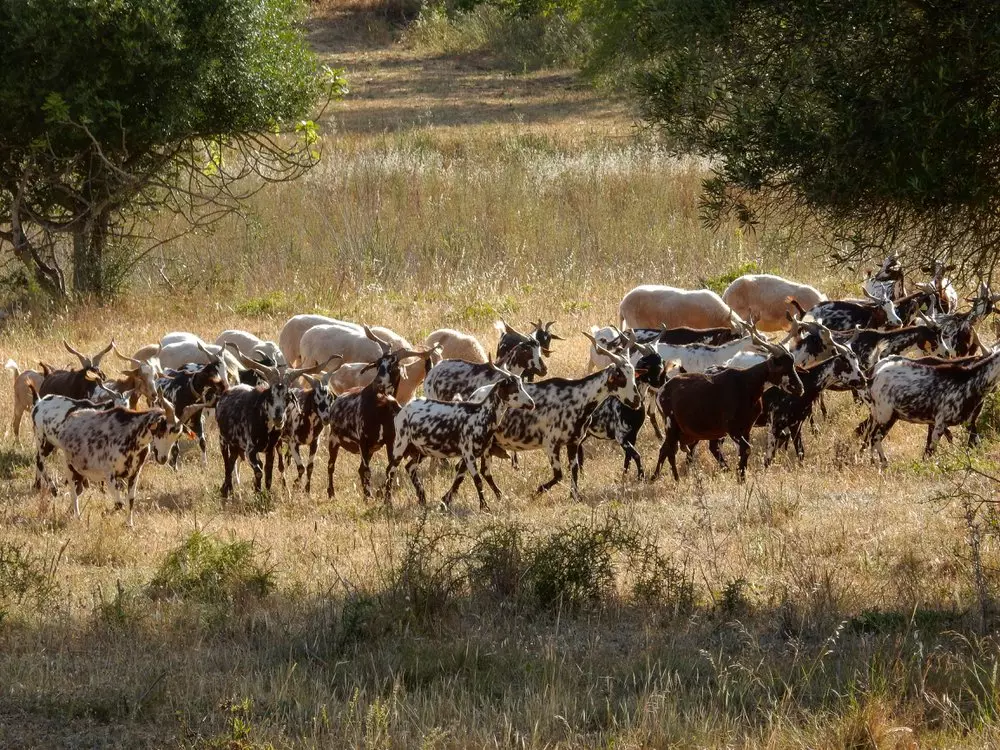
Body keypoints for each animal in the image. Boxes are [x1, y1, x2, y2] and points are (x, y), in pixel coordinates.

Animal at [386, 364, 536, 512]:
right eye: (514, 388)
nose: (531, 403)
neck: (480, 415)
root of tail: (401, 409)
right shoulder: (468, 453)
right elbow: (477, 480)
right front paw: (484, 507)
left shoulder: (477, 453)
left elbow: (464, 477)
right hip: (401, 444)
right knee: (390, 470)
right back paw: (388, 503)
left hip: (421, 450)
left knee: (409, 468)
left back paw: (422, 499)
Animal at [648, 334, 804, 482]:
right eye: (782, 366)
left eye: (793, 365)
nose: (800, 388)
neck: (747, 383)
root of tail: (663, 389)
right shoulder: (732, 429)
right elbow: (746, 449)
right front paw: (740, 477)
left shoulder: (745, 428)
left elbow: (743, 451)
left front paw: (741, 477)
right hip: (671, 426)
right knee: (669, 450)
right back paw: (675, 479)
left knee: (665, 449)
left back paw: (655, 477)